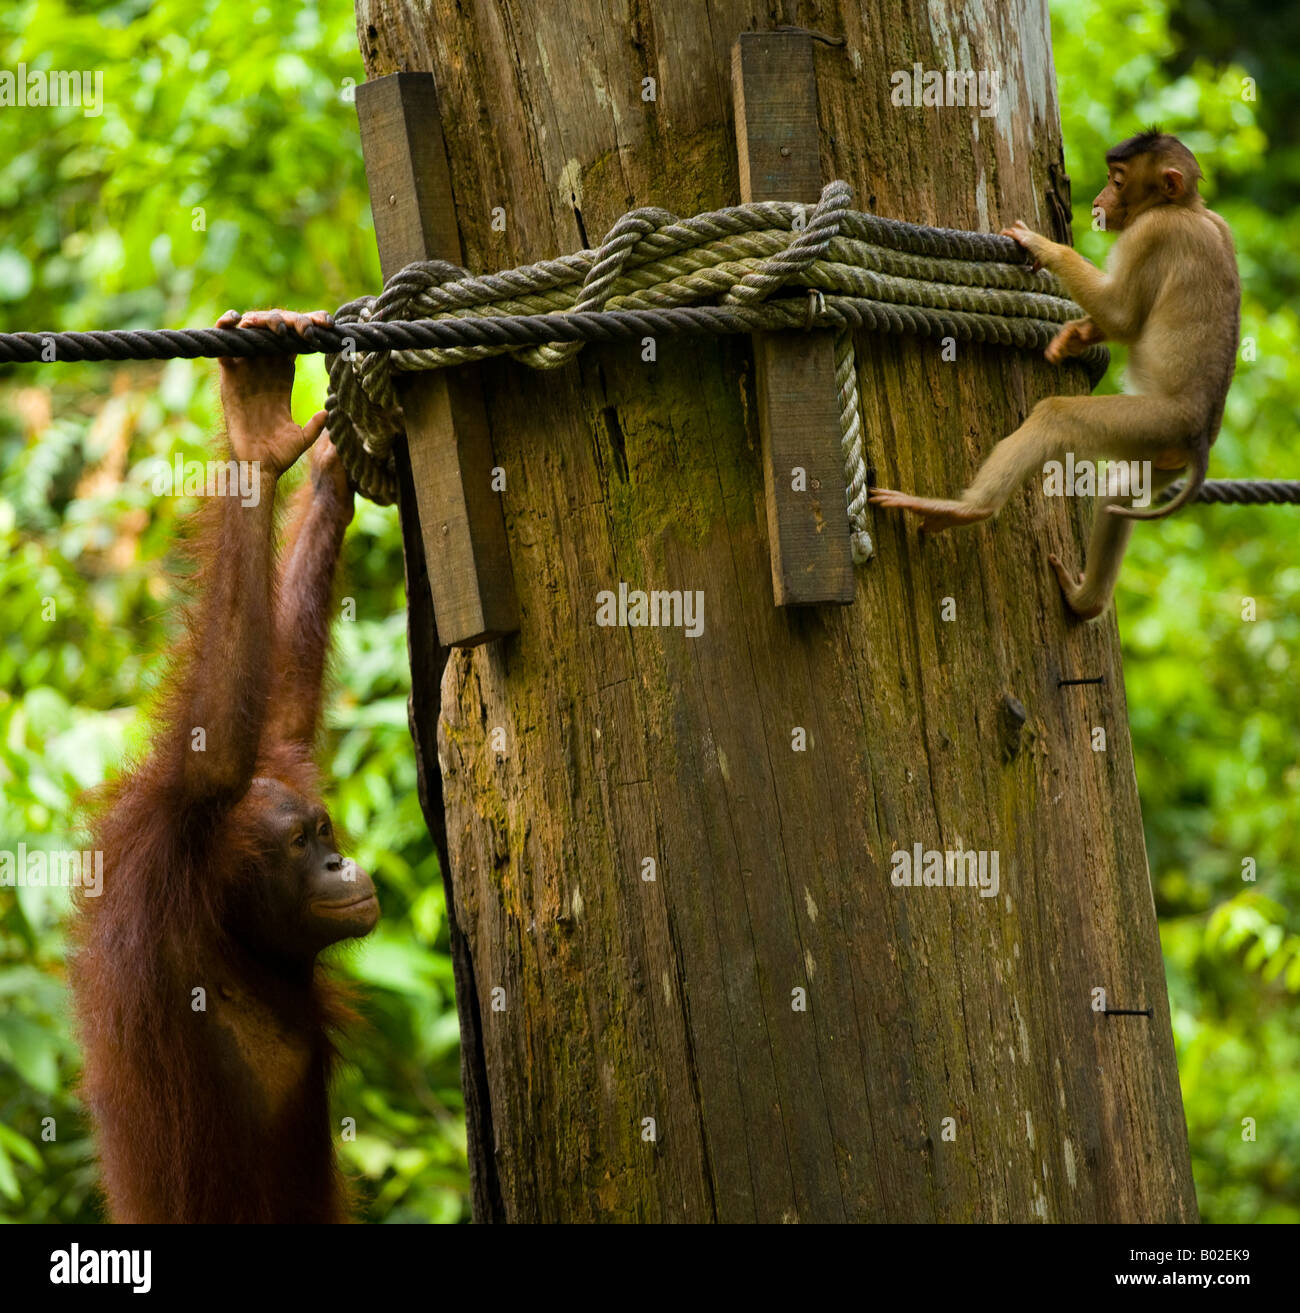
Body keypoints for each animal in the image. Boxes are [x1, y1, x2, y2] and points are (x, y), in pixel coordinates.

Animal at [870, 130, 1240, 619]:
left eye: (1117, 180)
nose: (1100, 200)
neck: (1188, 209)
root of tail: (1199, 442)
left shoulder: (1152, 233)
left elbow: (1124, 318)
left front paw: (1045, 248)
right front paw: (1076, 337)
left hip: (1153, 421)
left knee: (1057, 418)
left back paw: (968, 511)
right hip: (1160, 449)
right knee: (1118, 493)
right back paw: (1087, 601)